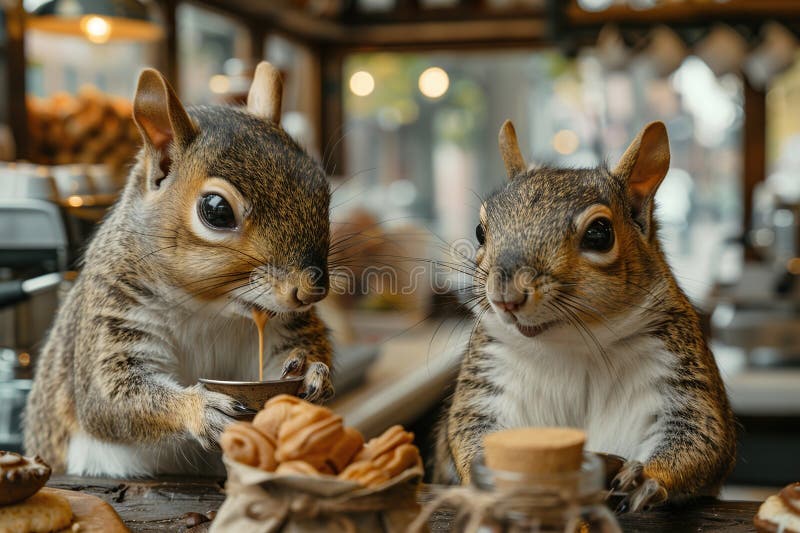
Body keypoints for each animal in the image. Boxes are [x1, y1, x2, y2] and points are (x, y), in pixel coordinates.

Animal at [24, 62, 334, 477]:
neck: (209, 309)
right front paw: (200, 408)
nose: (312, 290)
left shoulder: (280, 326)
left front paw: (312, 366)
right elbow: (110, 399)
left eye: (322, 190)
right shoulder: (112, 314)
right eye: (217, 210)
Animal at [434, 120, 736, 512]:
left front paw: (646, 477)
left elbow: (701, 436)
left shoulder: (680, 378)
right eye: (479, 231)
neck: (573, 344)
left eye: (599, 234)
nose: (507, 295)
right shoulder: (487, 386)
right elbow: (469, 430)